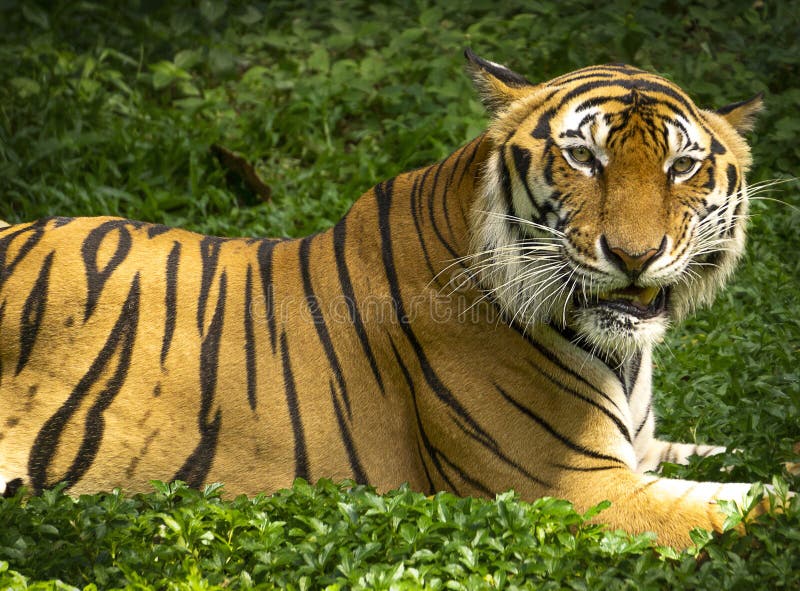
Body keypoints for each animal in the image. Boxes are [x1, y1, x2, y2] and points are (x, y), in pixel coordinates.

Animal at [0, 49, 786, 547]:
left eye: (681, 166)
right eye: (583, 157)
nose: (634, 255)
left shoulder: (645, 451)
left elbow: (753, 458)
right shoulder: (576, 487)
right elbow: (763, 504)